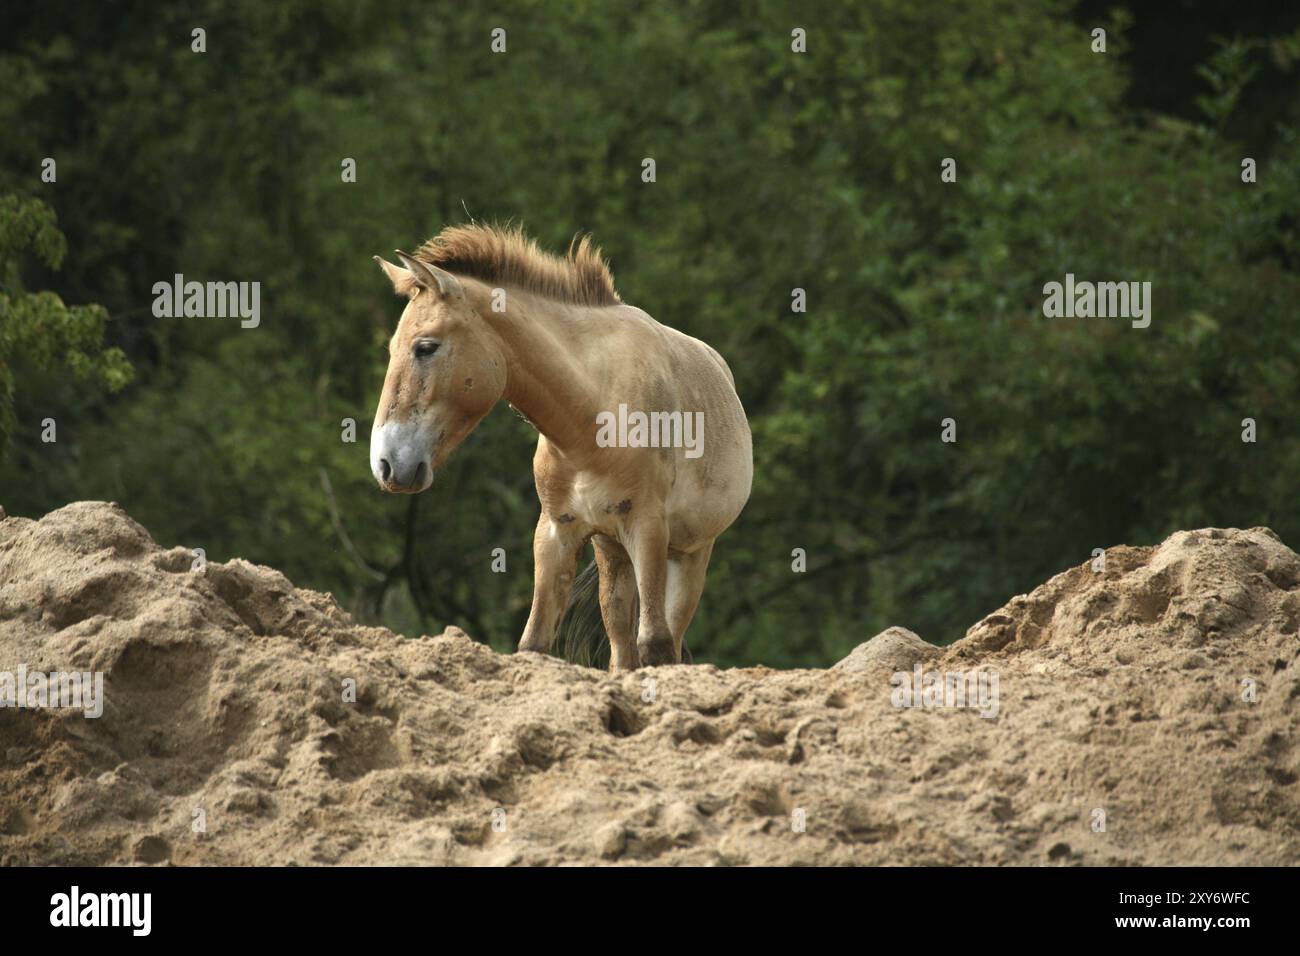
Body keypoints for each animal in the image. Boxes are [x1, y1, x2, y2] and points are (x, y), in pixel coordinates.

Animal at [369, 224, 752, 669]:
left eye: (425, 347)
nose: (386, 462)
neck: (590, 424)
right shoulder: (556, 532)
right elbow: (534, 642)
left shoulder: (649, 529)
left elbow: (656, 644)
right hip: (612, 549)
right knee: (621, 643)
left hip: (690, 553)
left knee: (664, 639)